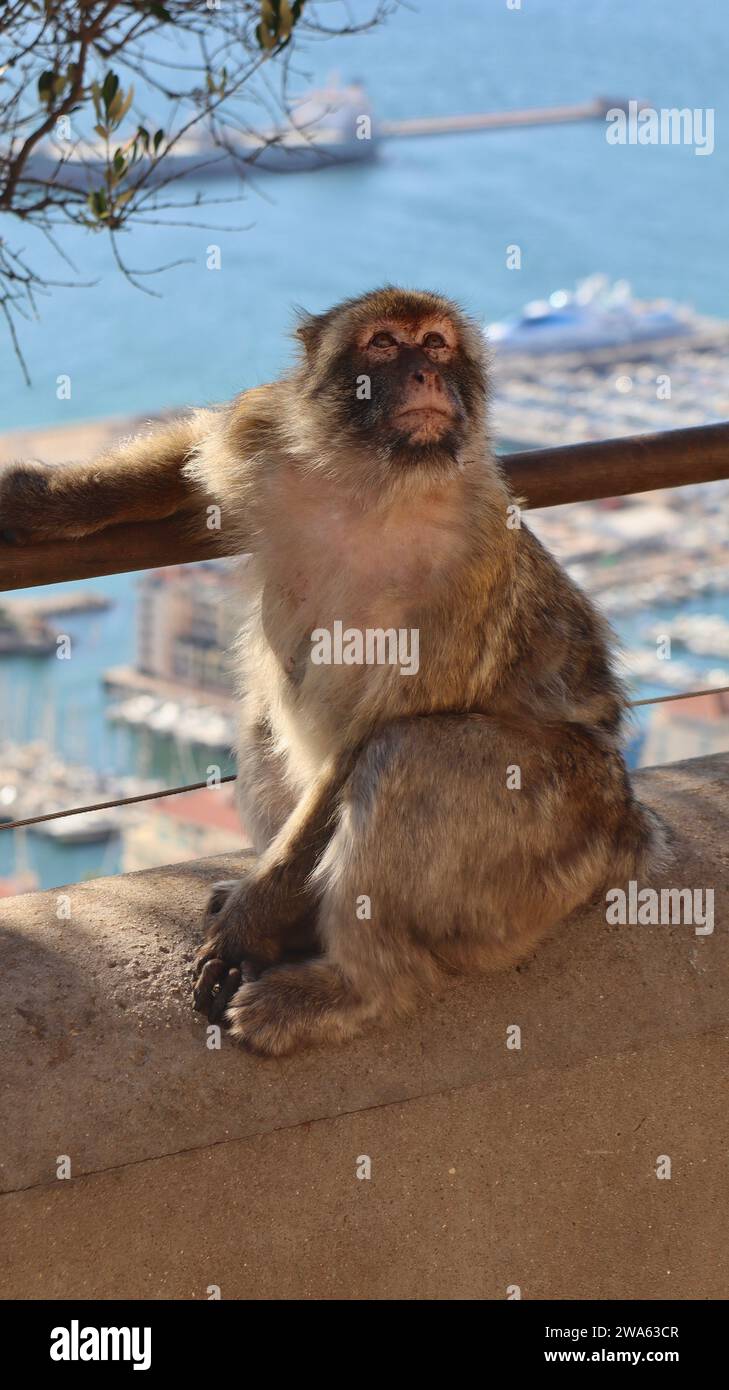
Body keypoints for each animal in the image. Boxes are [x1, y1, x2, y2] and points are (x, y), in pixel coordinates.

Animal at [0, 286, 669, 1055]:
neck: (377, 486)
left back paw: (352, 985)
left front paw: (254, 920)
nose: (424, 374)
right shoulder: (267, 435)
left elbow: (373, 737)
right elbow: (197, 447)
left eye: (436, 344)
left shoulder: (473, 556)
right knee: (265, 718)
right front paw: (47, 502)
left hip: (558, 833)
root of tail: (626, 828)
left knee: (411, 755)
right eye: (384, 343)